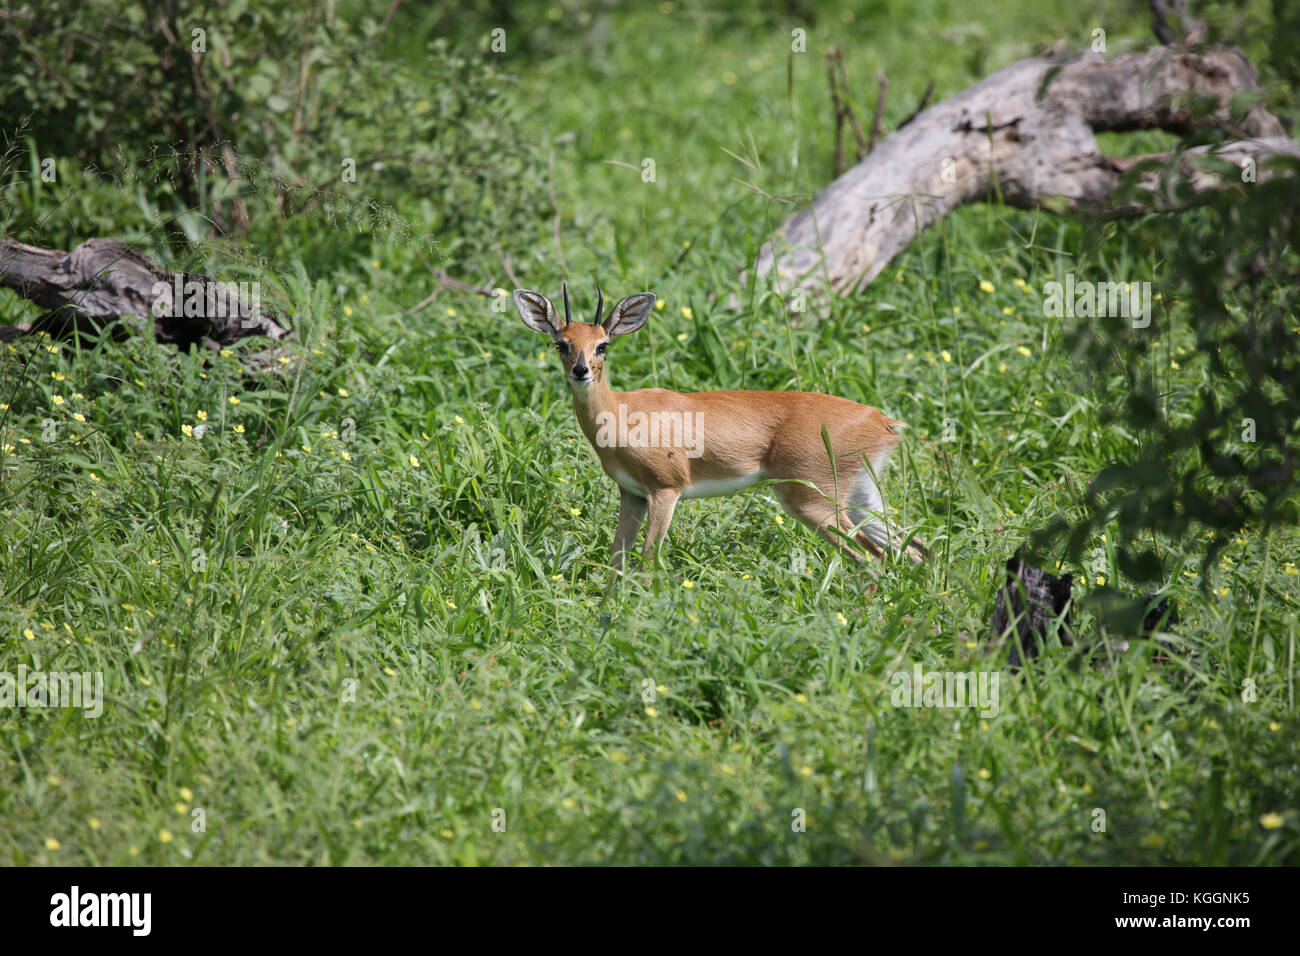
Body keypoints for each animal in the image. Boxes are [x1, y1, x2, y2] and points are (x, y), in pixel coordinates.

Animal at [514, 284, 927, 572]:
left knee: (872, 559)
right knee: (915, 549)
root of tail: (880, 420)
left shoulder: (666, 488)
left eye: (603, 344)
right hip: (861, 496)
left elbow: (647, 559)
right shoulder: (632, 494)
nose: (581, 370)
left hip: (813, 500)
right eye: (561, 343)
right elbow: (617, 561)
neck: (621, 414)